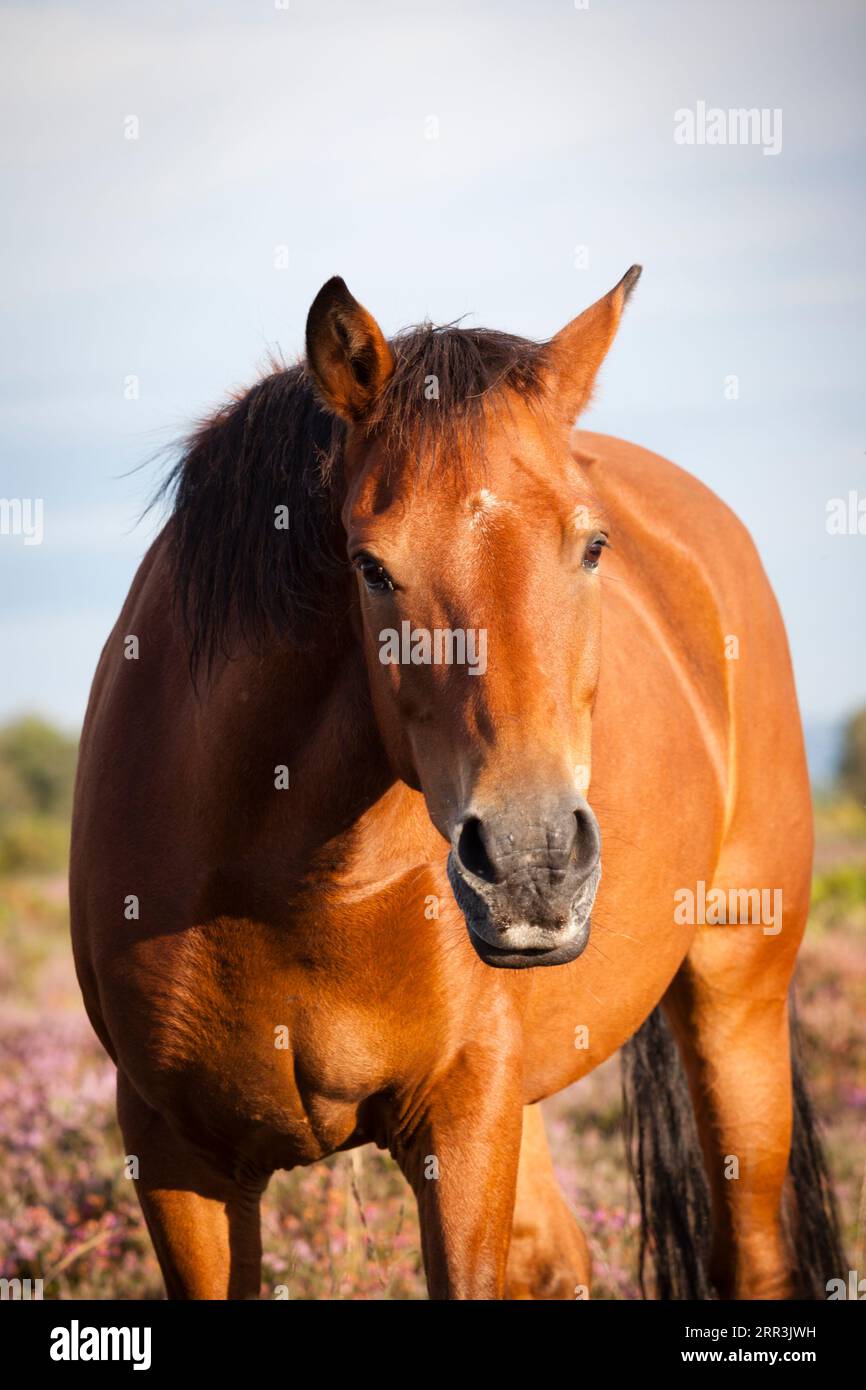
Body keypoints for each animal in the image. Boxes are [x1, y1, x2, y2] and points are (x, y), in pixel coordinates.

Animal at [69, 267, 842, 1300]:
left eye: (593, 547)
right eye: (371, 567)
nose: (533, 865)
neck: (285, 885)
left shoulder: (465, 1119)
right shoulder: (176, 1156)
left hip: (736, 998)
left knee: (750, 1251)